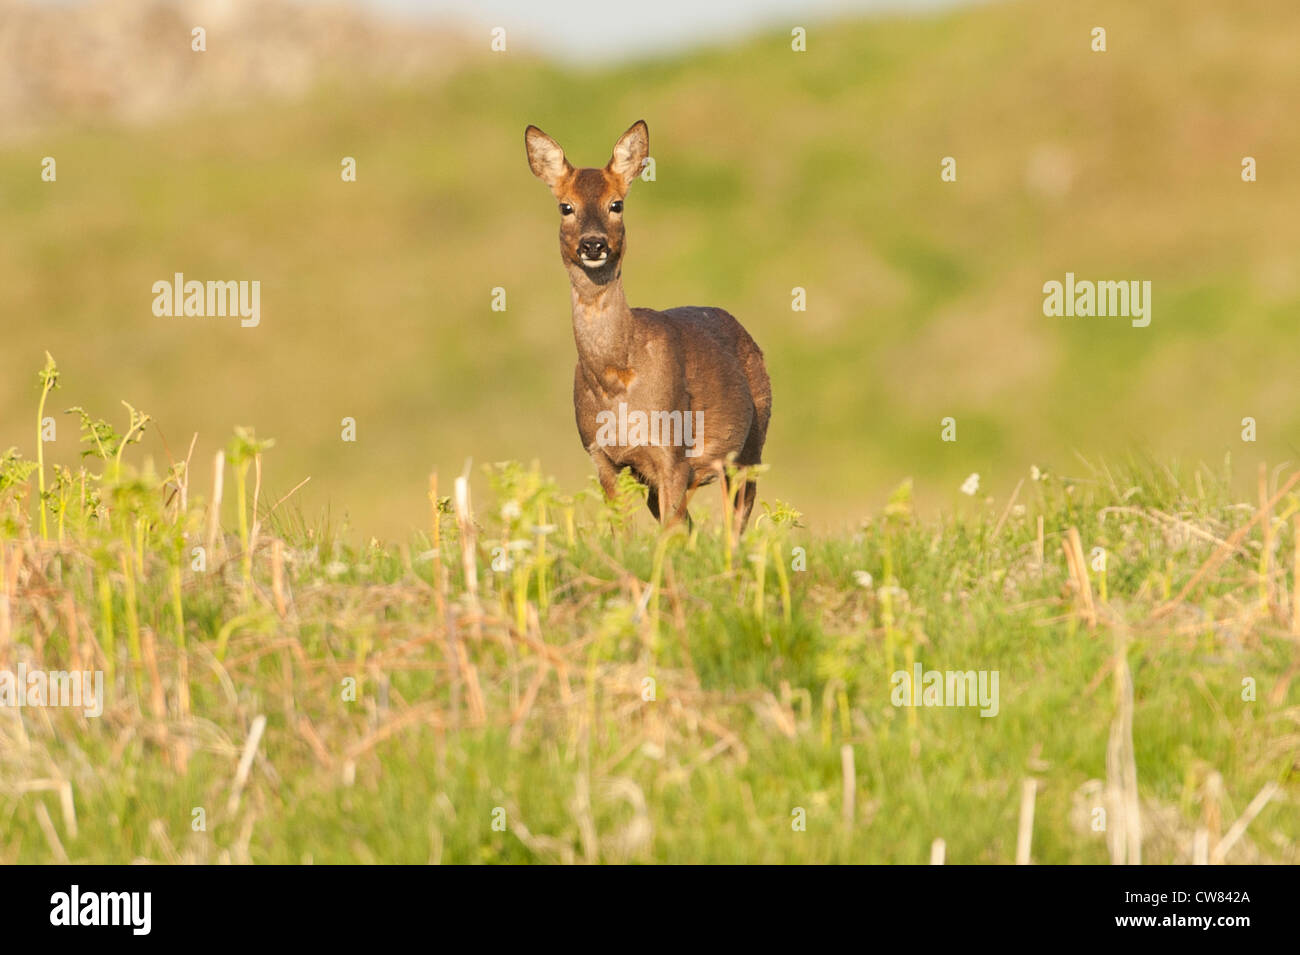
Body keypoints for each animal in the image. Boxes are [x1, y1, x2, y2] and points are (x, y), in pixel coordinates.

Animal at [525, 120, 772, 532]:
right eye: (566, 206)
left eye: (616, 204)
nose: (594, 244)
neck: (616, 381)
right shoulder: (602, 456)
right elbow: (625, 532)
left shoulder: (672, 450)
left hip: (751, 444)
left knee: (736, 518)